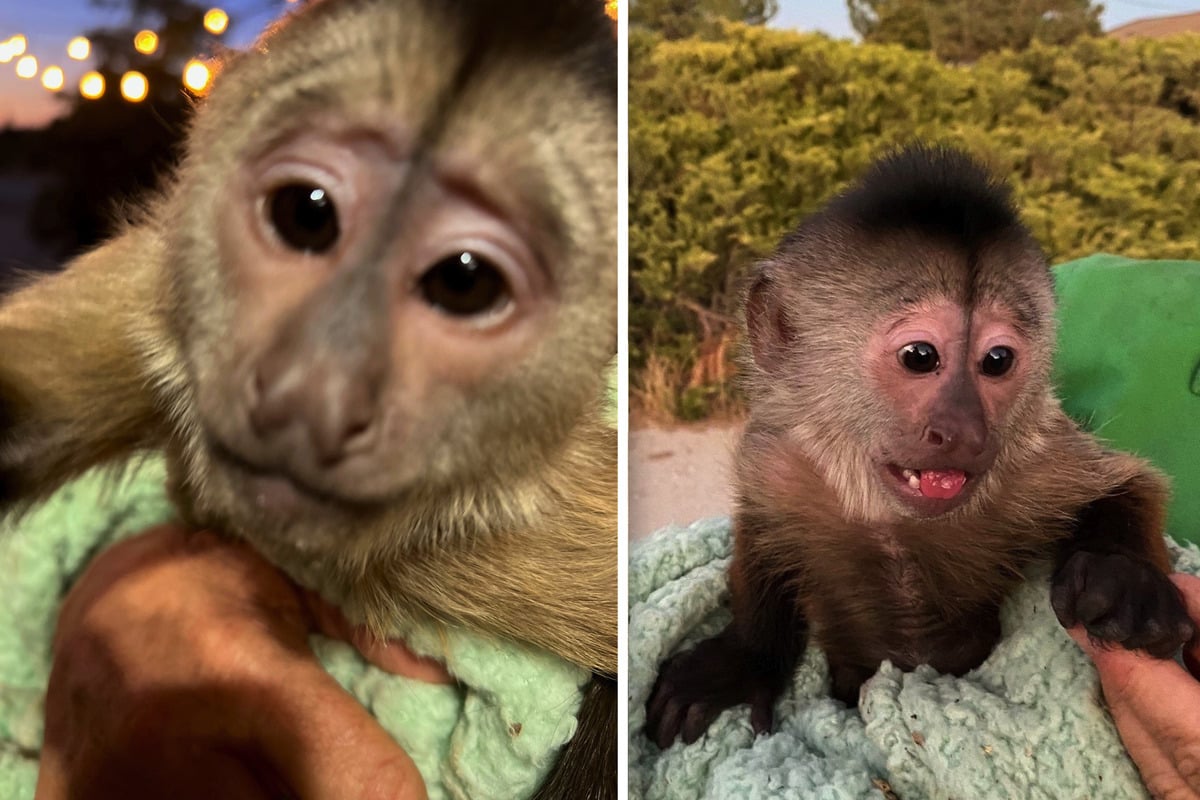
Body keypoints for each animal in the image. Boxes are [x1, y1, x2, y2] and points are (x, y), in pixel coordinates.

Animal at [645, 144, 1196, 750]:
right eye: (919, 356)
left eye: (997, 361)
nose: (964, 430)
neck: (892, 519)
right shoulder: (780, 462)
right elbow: (763, 535)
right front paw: (742, 660)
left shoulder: (1033, 459)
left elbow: (1127, 484)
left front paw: (1122, 576)